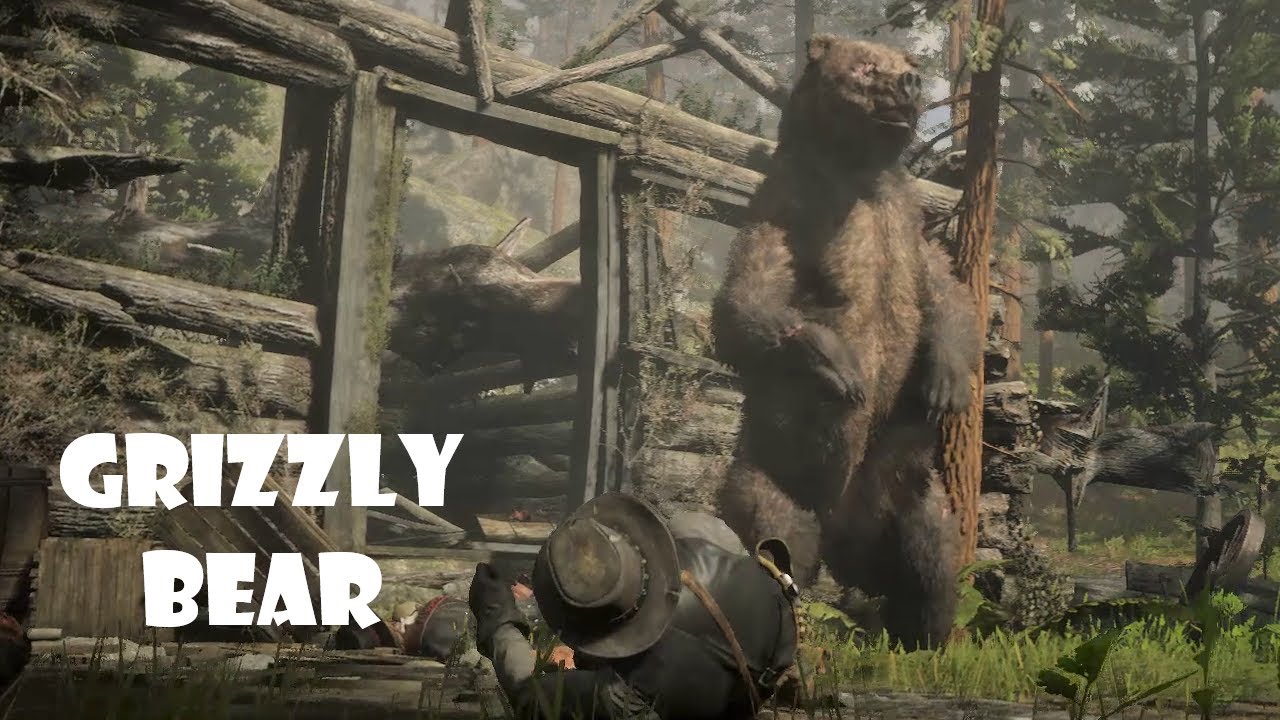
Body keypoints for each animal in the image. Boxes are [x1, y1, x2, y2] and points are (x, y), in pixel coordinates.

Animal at [709, 34, 982, 649]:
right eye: (865, 66)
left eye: (906, 63)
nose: (910, 81)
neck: (858, 174)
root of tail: (845, 541)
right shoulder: (787, 209)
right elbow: (745, 301)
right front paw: (841, 367)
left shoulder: (908, 228)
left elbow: (947, 294)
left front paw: (945, 383)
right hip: (778, 478)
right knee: (772, 534)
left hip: (912, 496)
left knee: (931, 561)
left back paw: (924, 638)